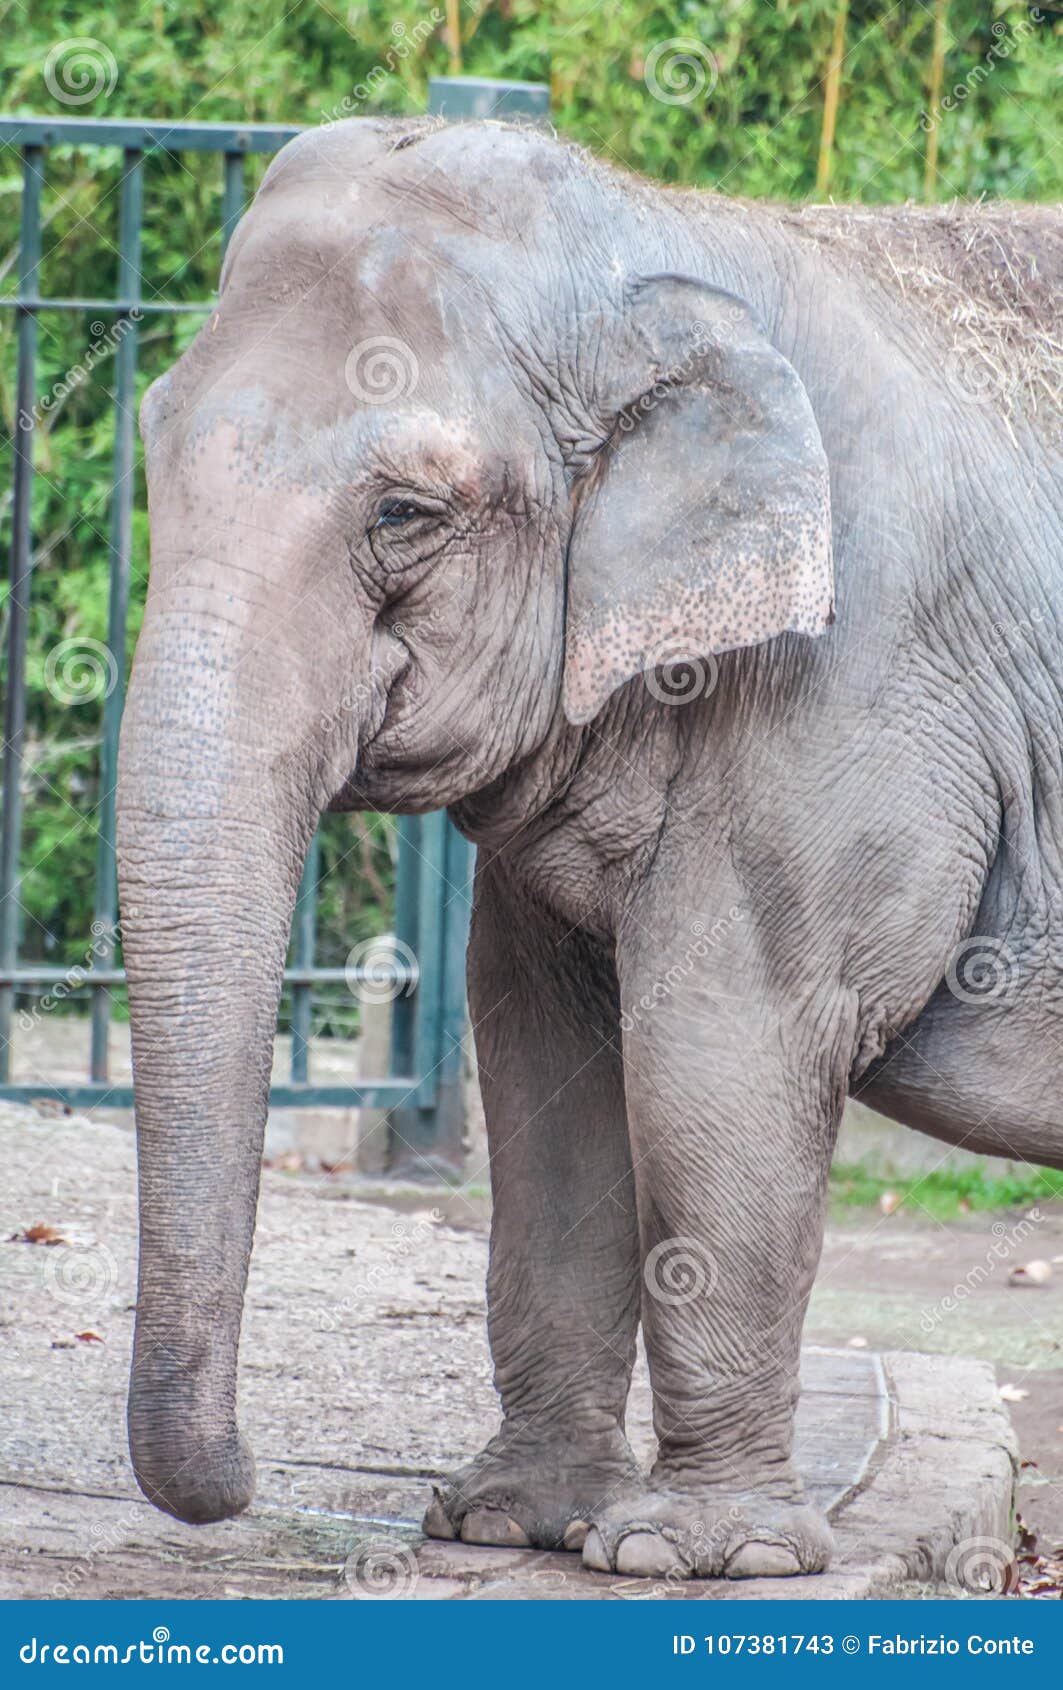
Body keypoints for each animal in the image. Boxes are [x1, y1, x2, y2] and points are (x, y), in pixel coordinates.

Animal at [115, 116, 1062, 1581]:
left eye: (402, 515)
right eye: (153, 452)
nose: (244, 1478)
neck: (657, 241)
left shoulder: (842, 685)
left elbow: (718, 1043)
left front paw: (697, 1553)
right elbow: (539, 1050)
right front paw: (511, 1518)